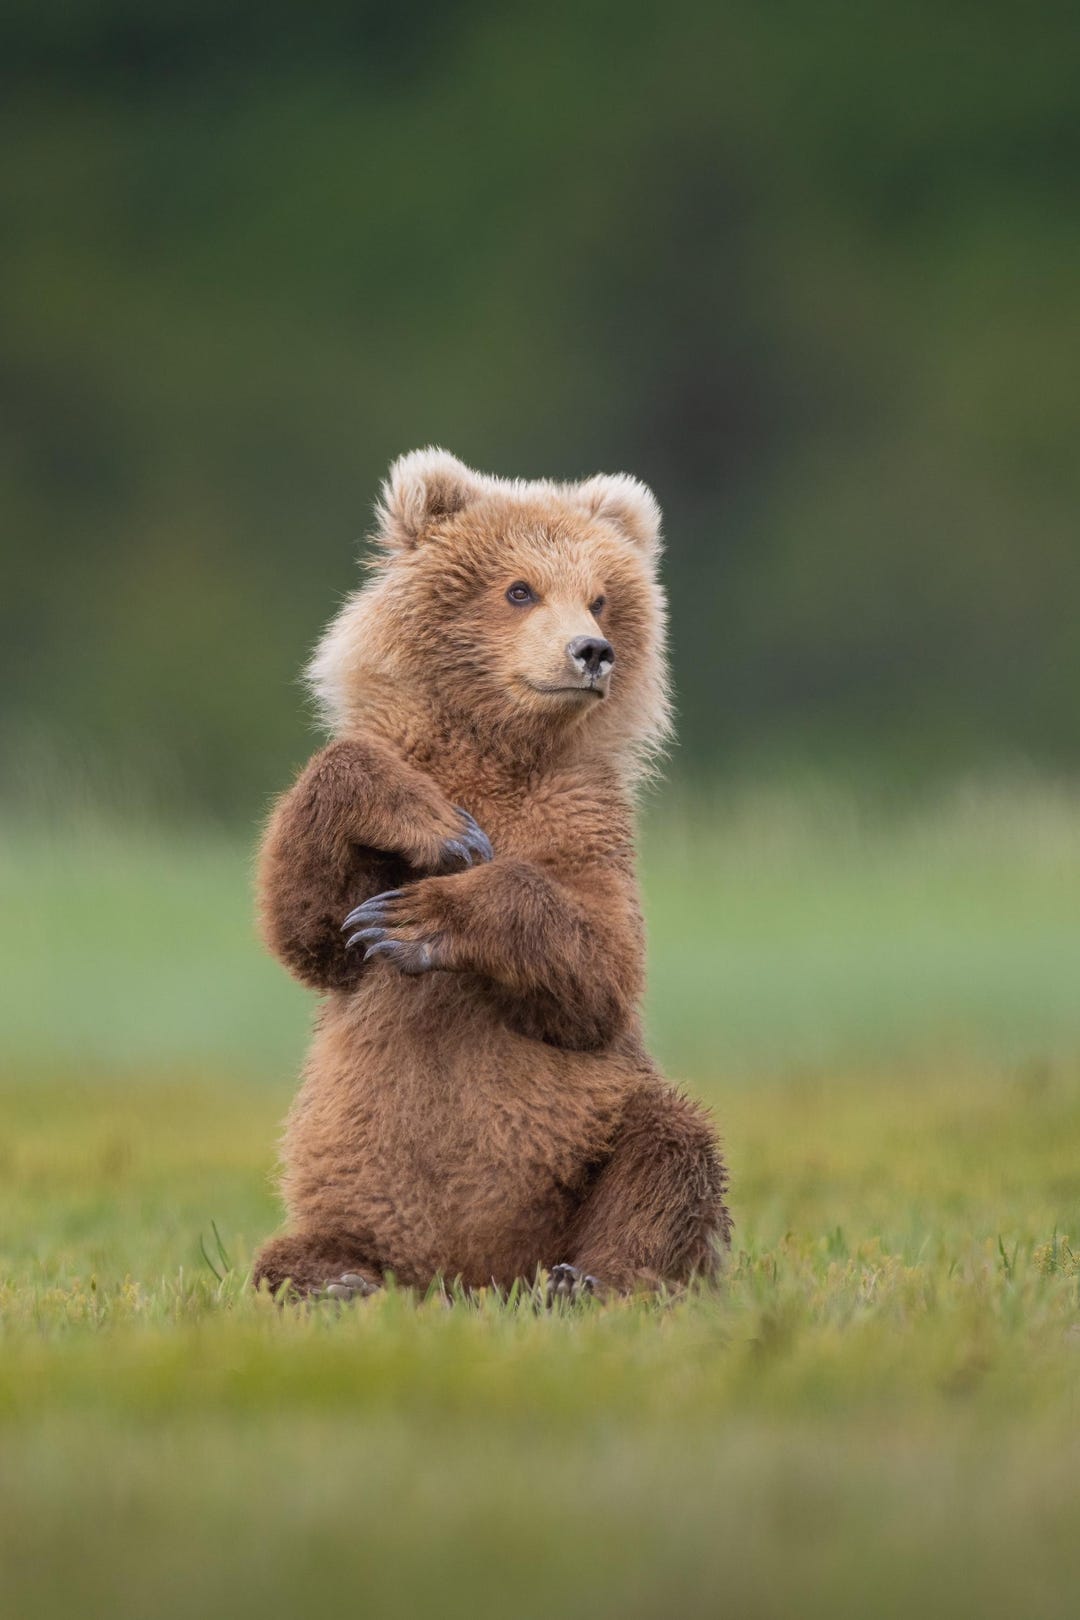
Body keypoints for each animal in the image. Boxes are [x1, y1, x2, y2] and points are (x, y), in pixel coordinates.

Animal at [252, 448, 730, 1300]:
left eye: (600, 597)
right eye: (519, 588)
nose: (591, 650)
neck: (497, 751)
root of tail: (469, 1277)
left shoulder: (585, 824)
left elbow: (600, 971)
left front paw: (422, 917)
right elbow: (310, 928)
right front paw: (436, 828)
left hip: (588, 1147)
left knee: (668, 1148)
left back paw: (590, 1279)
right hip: (350, 1194)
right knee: (281, 1256)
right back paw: (337, 1279)